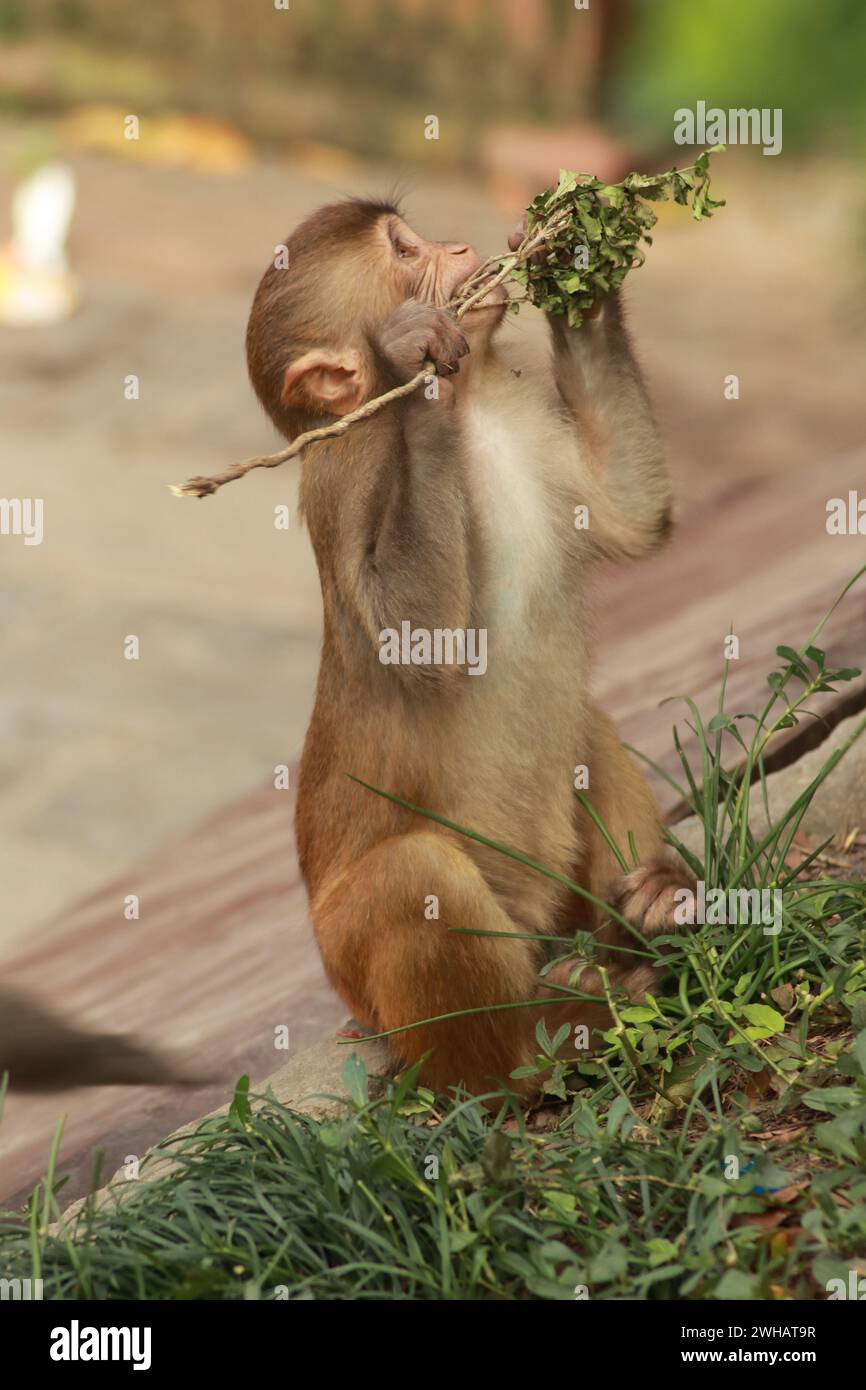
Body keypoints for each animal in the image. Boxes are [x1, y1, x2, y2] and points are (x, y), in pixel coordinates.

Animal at [246, 196, 695, 1097]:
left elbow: (627, 514)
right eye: (403, 250)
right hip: (369, 983)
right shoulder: (343, 479)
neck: (475, 413)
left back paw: (647, 917)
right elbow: (418, 645)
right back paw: (540, 1046)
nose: (455, 246)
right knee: (415, 877)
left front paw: (576, 256)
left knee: (587, 732)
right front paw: (409, 362)